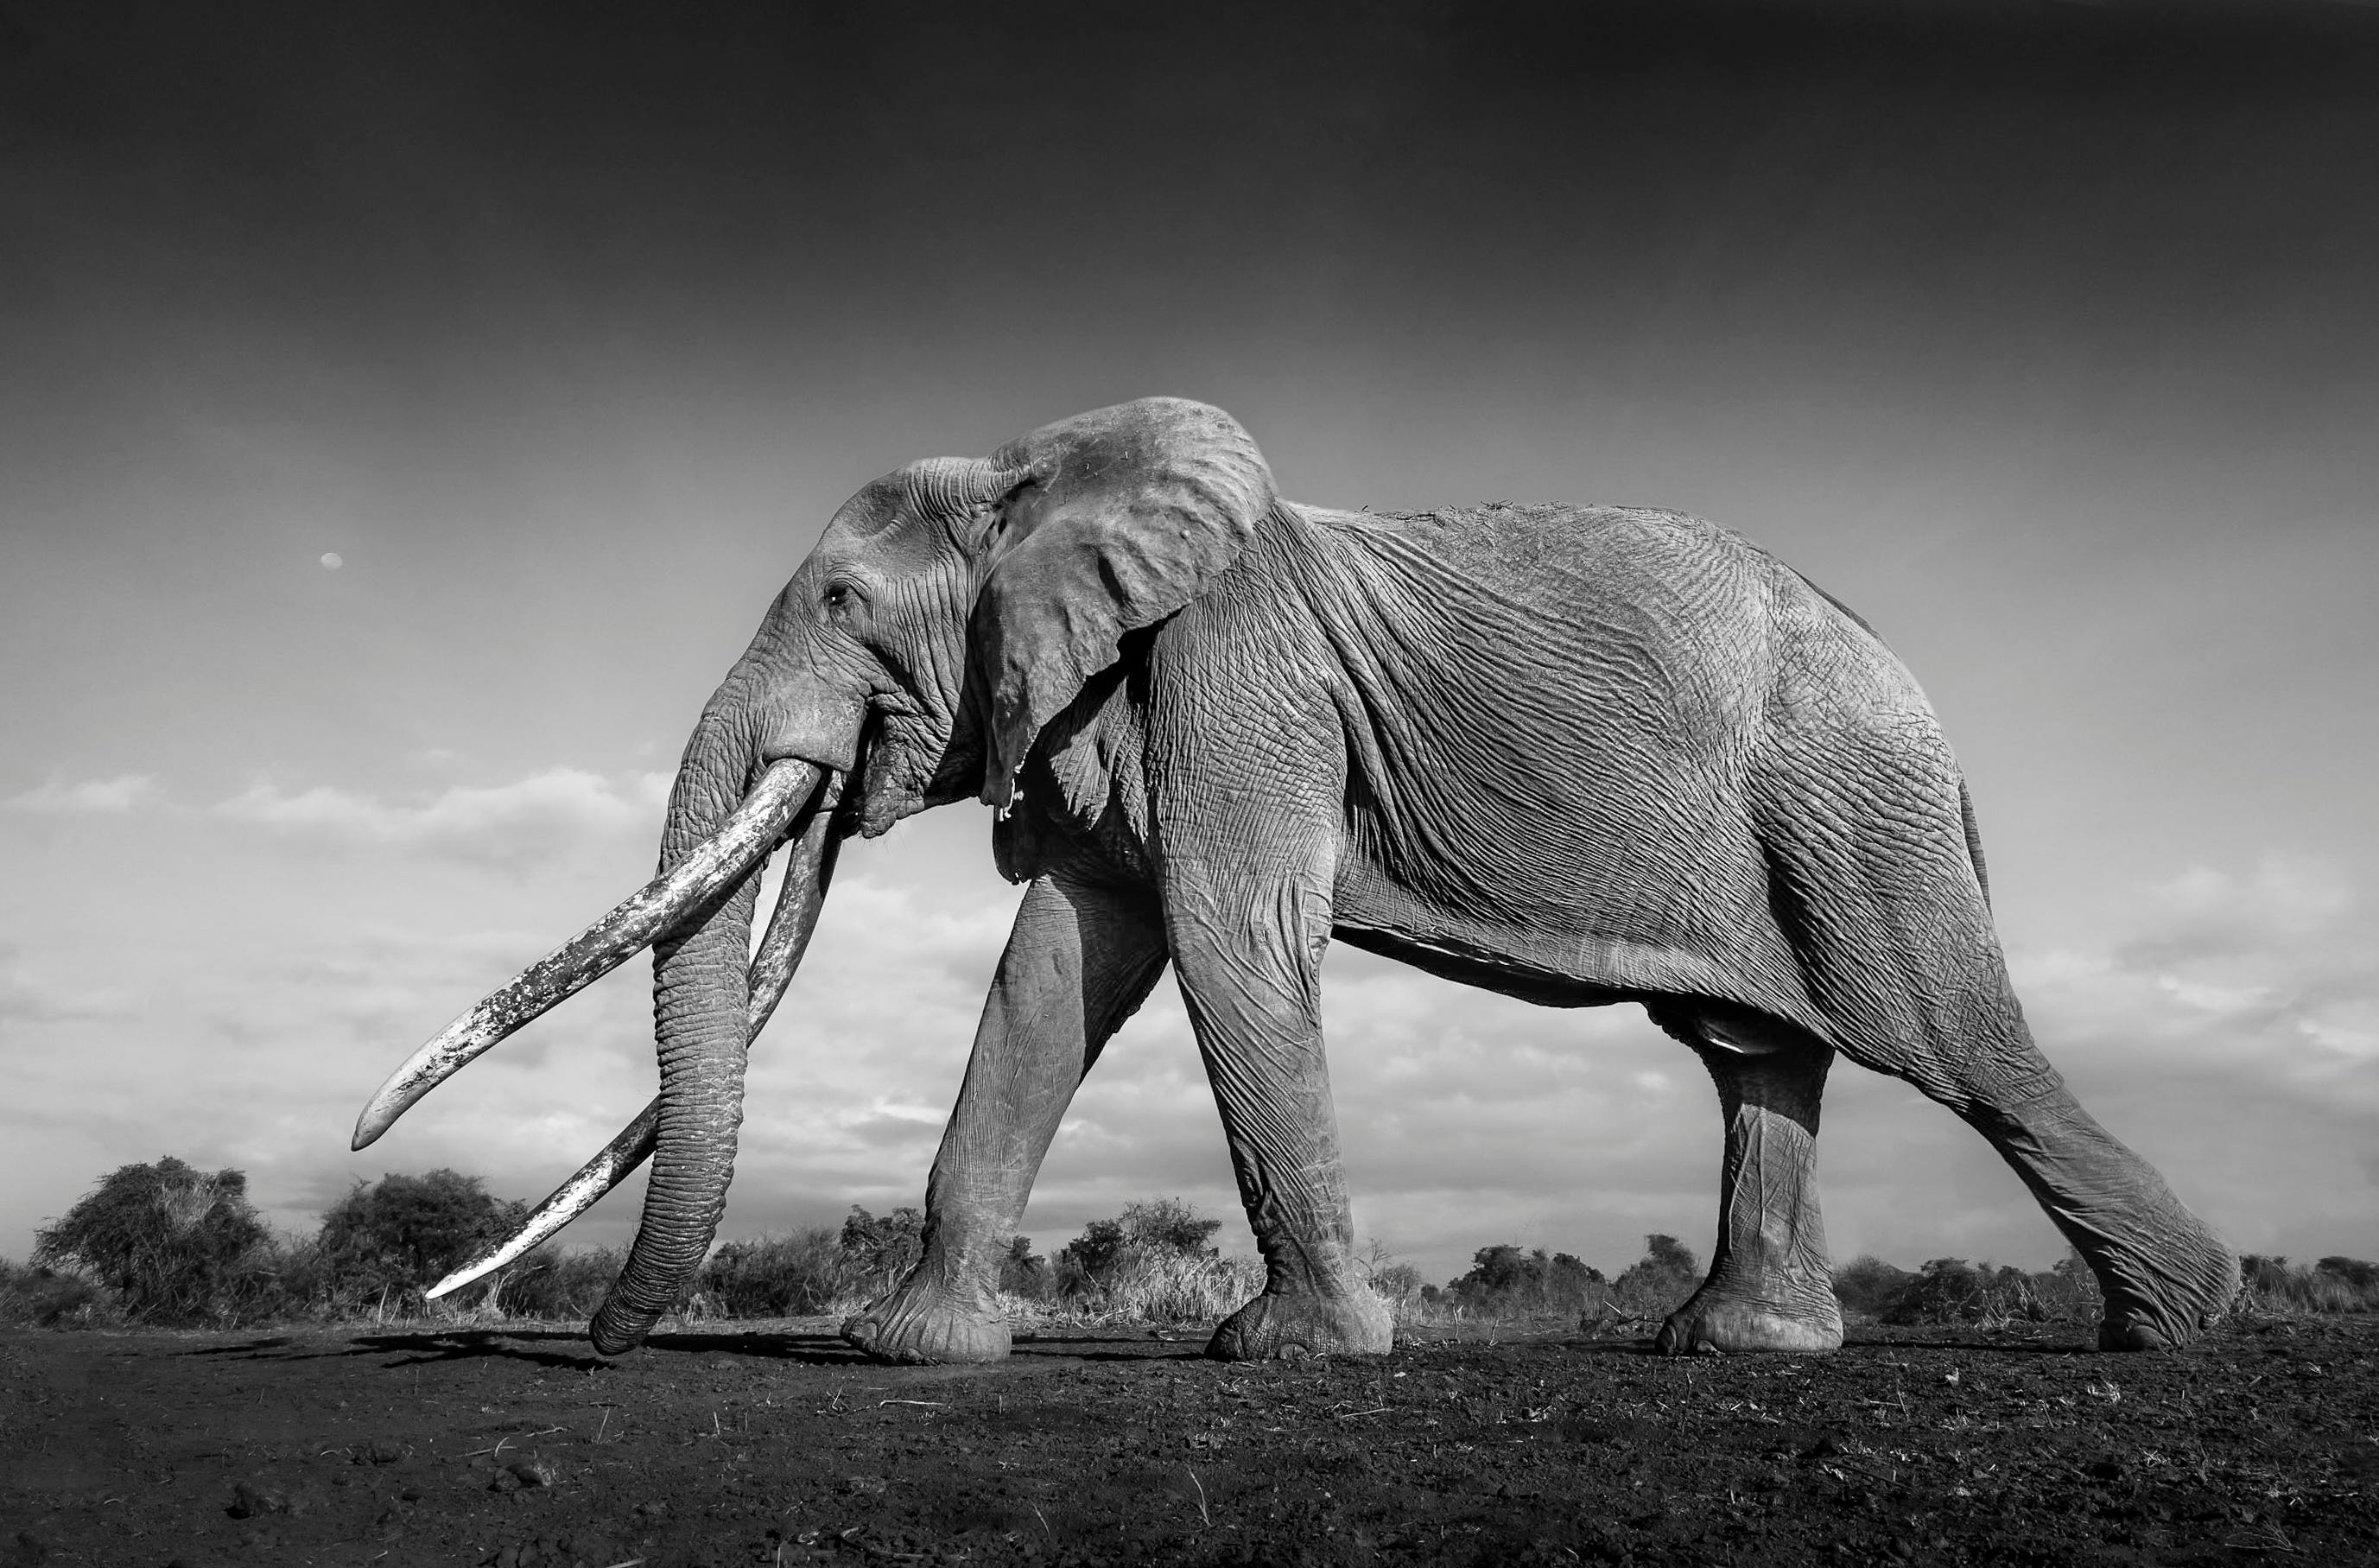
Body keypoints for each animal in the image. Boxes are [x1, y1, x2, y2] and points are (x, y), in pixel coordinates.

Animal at [354, 396, 2239, 1362]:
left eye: (832, 605)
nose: (595, 1342)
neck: (1045, 465)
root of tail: (1921, 693)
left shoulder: (1240, 676)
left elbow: (1225, 941)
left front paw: (1291, 1357)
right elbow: (1057, 971)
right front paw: (906, 1352)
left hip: (1852, 806)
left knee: (1953, 1044)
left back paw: (2179, 1322)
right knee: (1750, 1048)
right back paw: (1735, 1349)